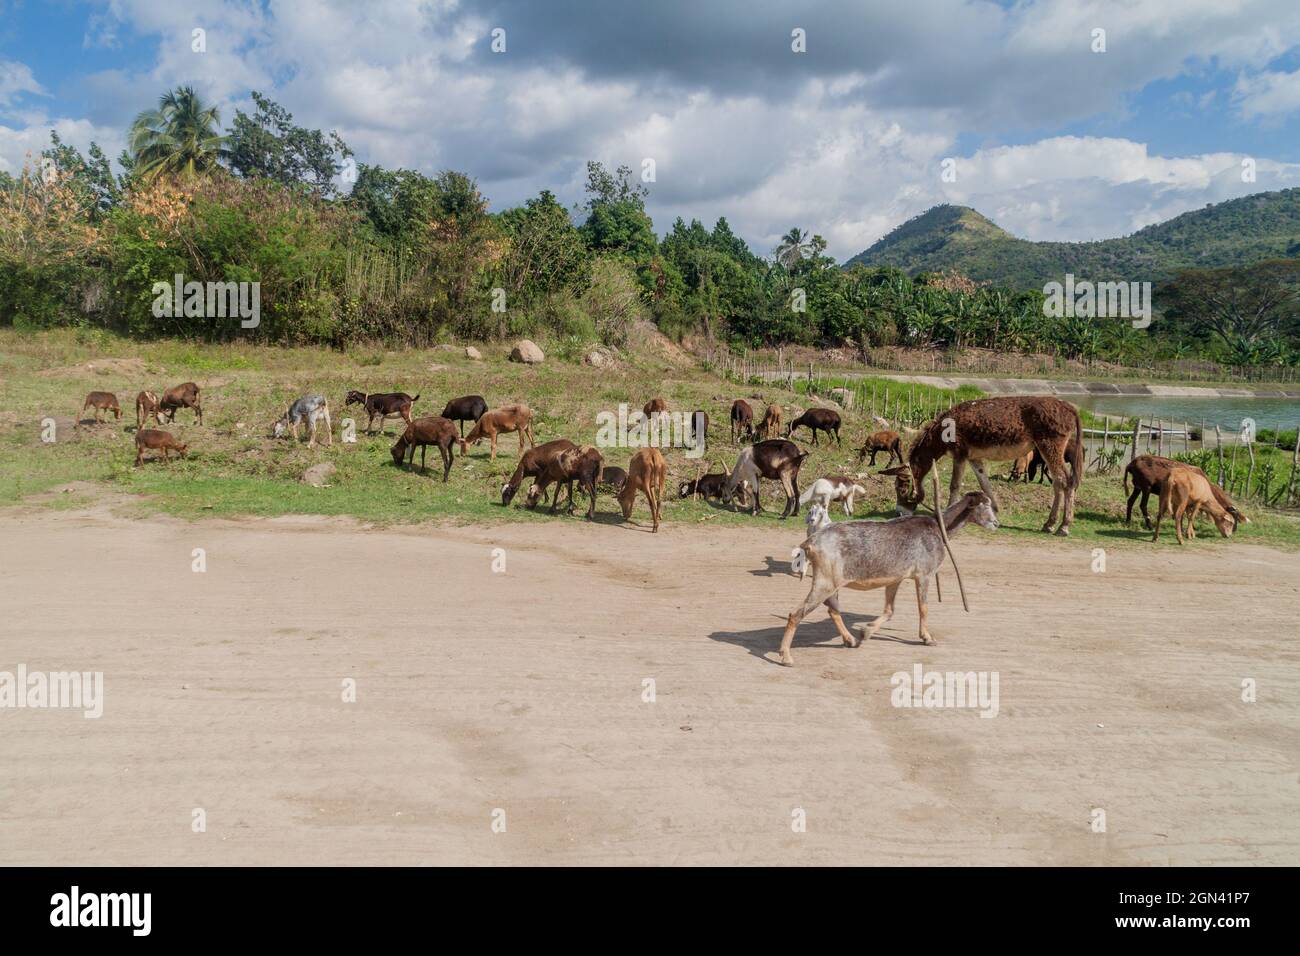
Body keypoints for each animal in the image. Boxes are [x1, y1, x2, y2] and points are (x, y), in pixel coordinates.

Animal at [777, 492, 999, 665]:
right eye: (985, 504)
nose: (996, 523)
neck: (939, 527)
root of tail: (811, 541)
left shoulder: (895, 578)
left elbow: (890, 611)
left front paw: (865, 632)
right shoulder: (924, 574)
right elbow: (923, 608)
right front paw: (927, 638)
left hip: (832, 581)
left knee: (833, 610)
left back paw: (850, 640)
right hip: (825, 581)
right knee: (796, 614)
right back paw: (786, 656)